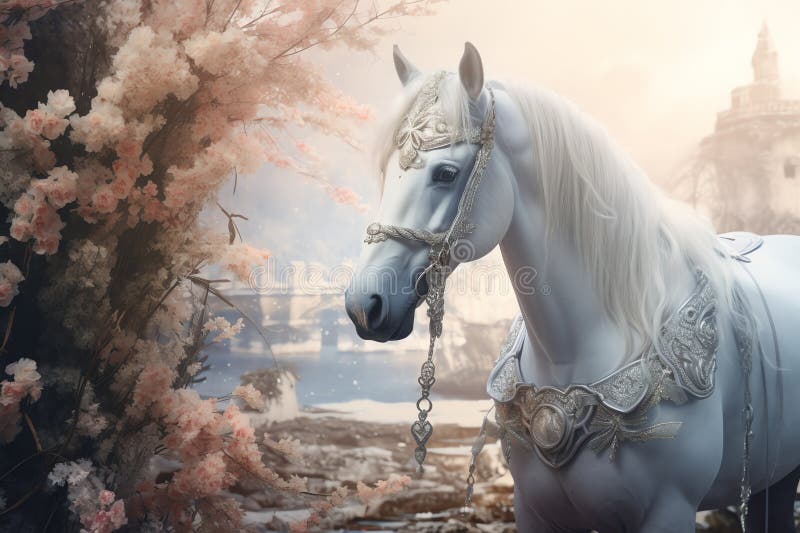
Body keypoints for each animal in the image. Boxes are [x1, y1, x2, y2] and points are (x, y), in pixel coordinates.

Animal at [344, 42, 800, 533]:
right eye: (387, 173)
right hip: (775, 476)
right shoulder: (533, 509)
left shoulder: (668, 510)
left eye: (446, 173)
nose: (363, 304)